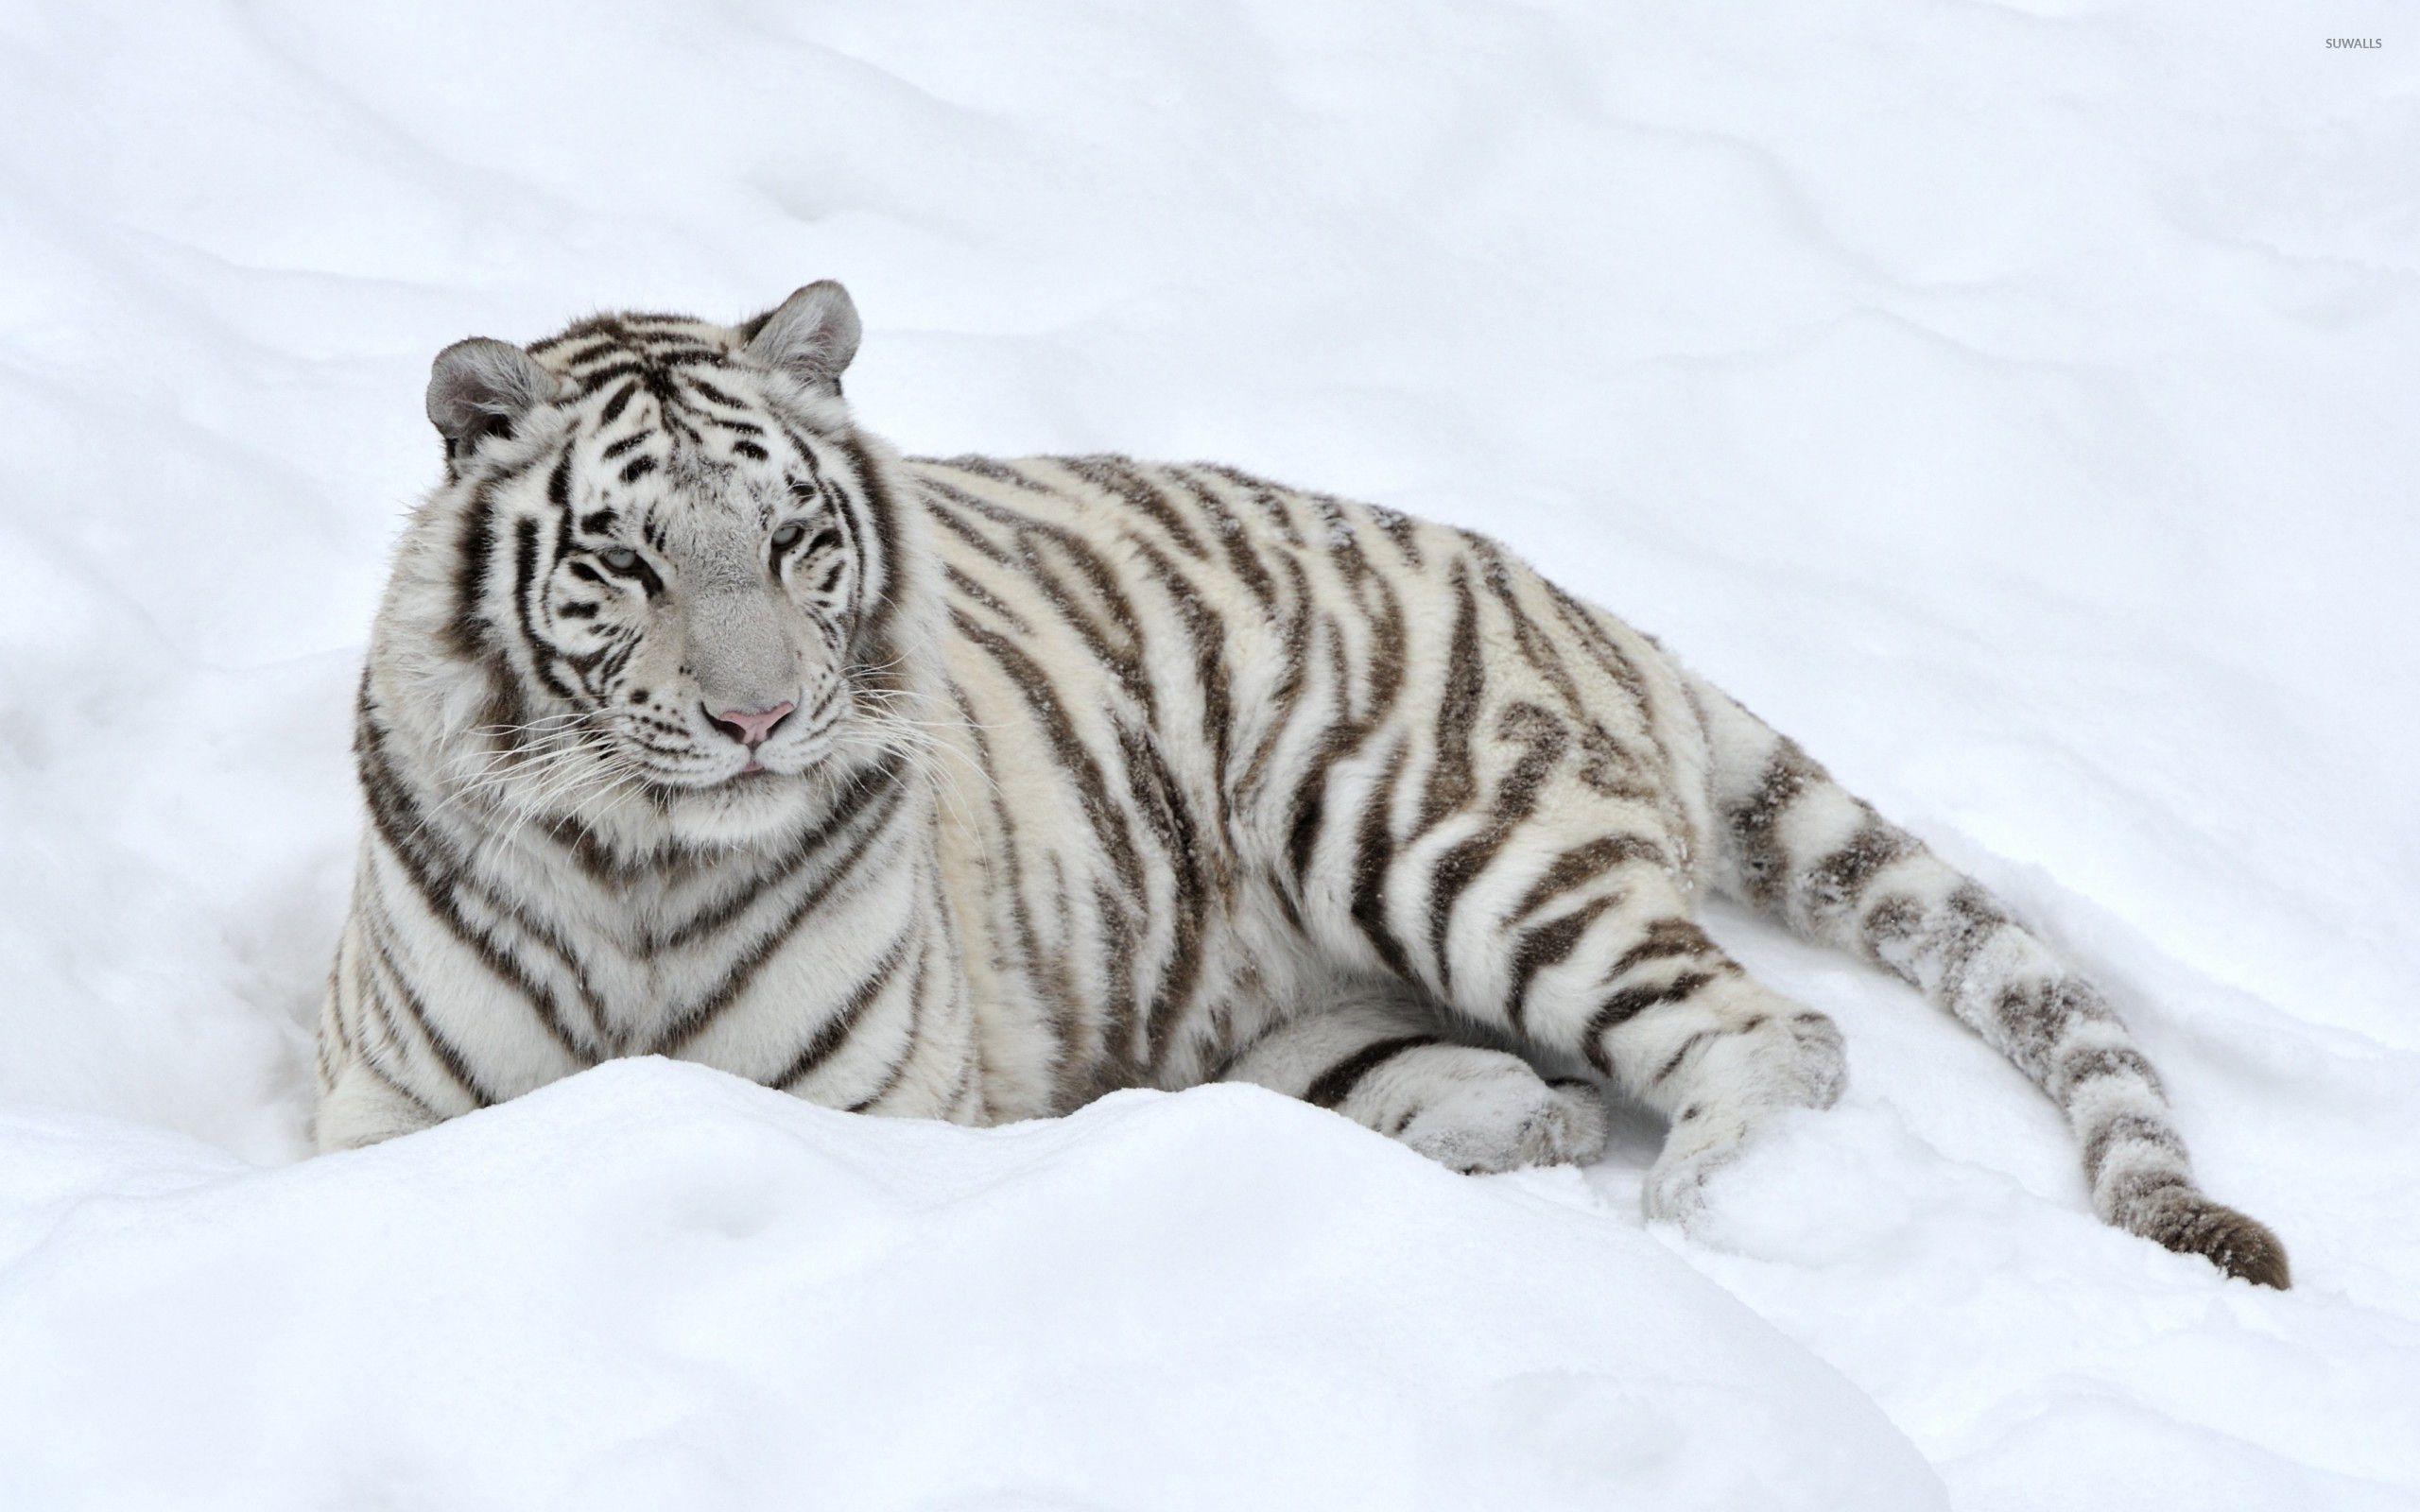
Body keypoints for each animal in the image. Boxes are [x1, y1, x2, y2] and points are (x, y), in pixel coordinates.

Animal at [316, 280, 2289, 1288]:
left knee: (1773, 1032)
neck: (643, 868)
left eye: (799, 542)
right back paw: (1513, 1131)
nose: (761, 720)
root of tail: (1597, 613)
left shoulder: (886, 1114)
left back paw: (1706, 1211)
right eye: (628, 560)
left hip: (1443, 829)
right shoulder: (387, 1108)